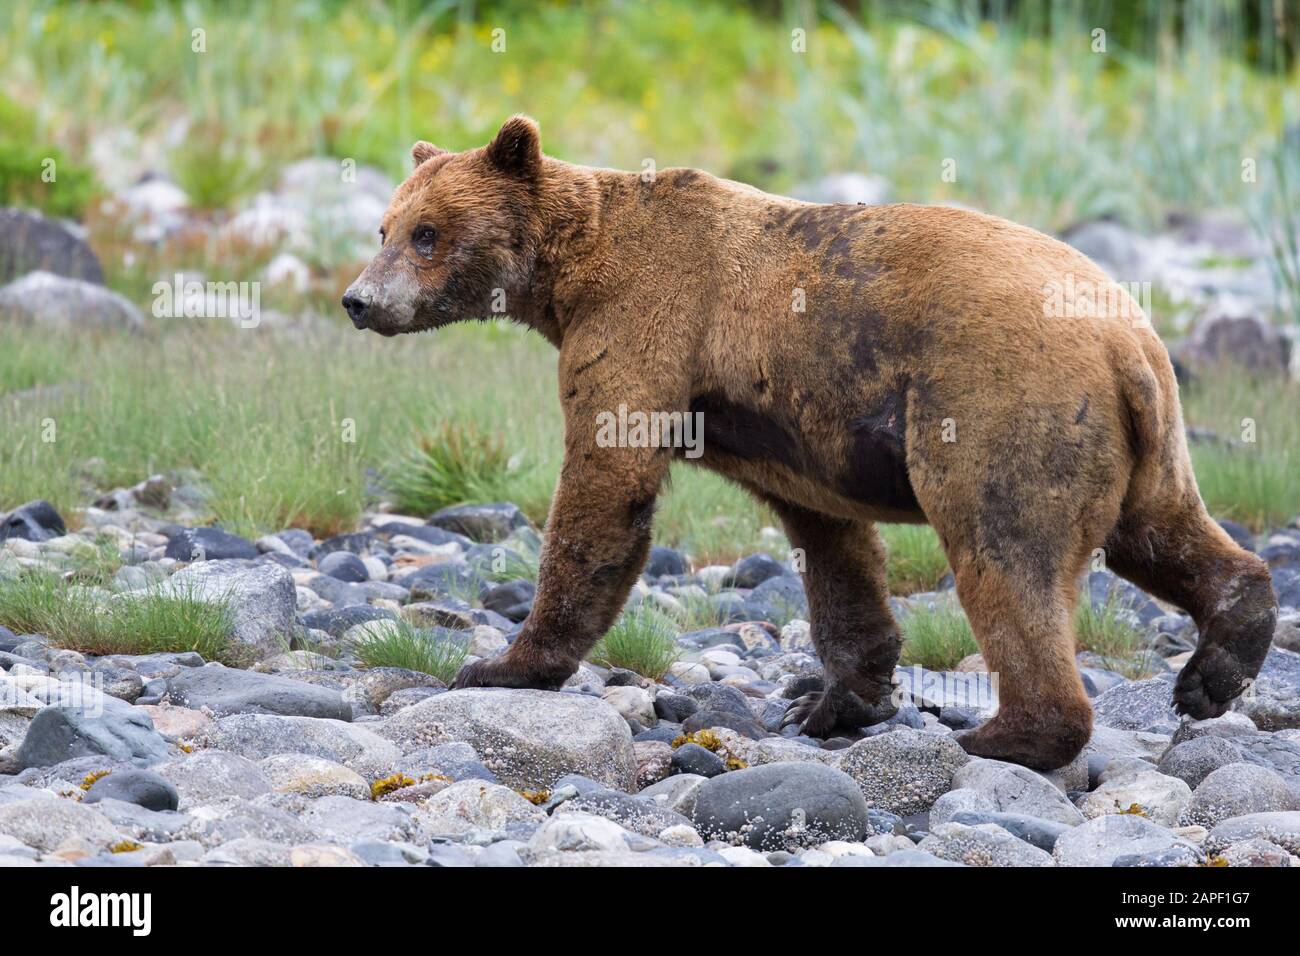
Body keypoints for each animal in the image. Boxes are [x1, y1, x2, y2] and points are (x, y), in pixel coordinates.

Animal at [343, 116, 1277, 770]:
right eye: (383, 227)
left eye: (428, 233)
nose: (358, 300)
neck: (571, 275)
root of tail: (1127, 337)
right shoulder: (785, 427)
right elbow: (831, 545)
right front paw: (828, 699)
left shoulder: (646, 326)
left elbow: (605, 485)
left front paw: (502, 665)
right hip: (1141, 432)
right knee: (1159, 529)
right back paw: (1219, 659)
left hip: (1001, 403)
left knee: (1004, 551)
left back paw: (1008, 734)